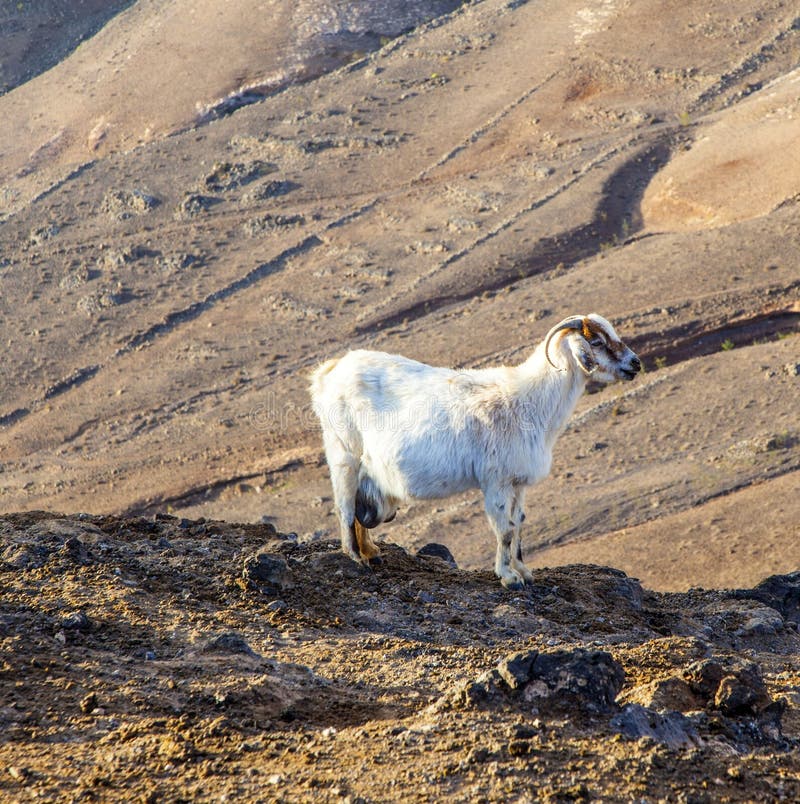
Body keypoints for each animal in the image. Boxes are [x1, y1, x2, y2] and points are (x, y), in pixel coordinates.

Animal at [309, 313, 641, 589]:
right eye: (596, 341)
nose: (635, 364)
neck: (531, 401)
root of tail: (327, 371)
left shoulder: (518, 483)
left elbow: (518, 525)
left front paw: (523, 572)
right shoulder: (496, 481)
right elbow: (504, 530)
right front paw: (508, 578)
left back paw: (372, 552)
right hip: (343, 453)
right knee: (345, 506)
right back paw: (356, 557)